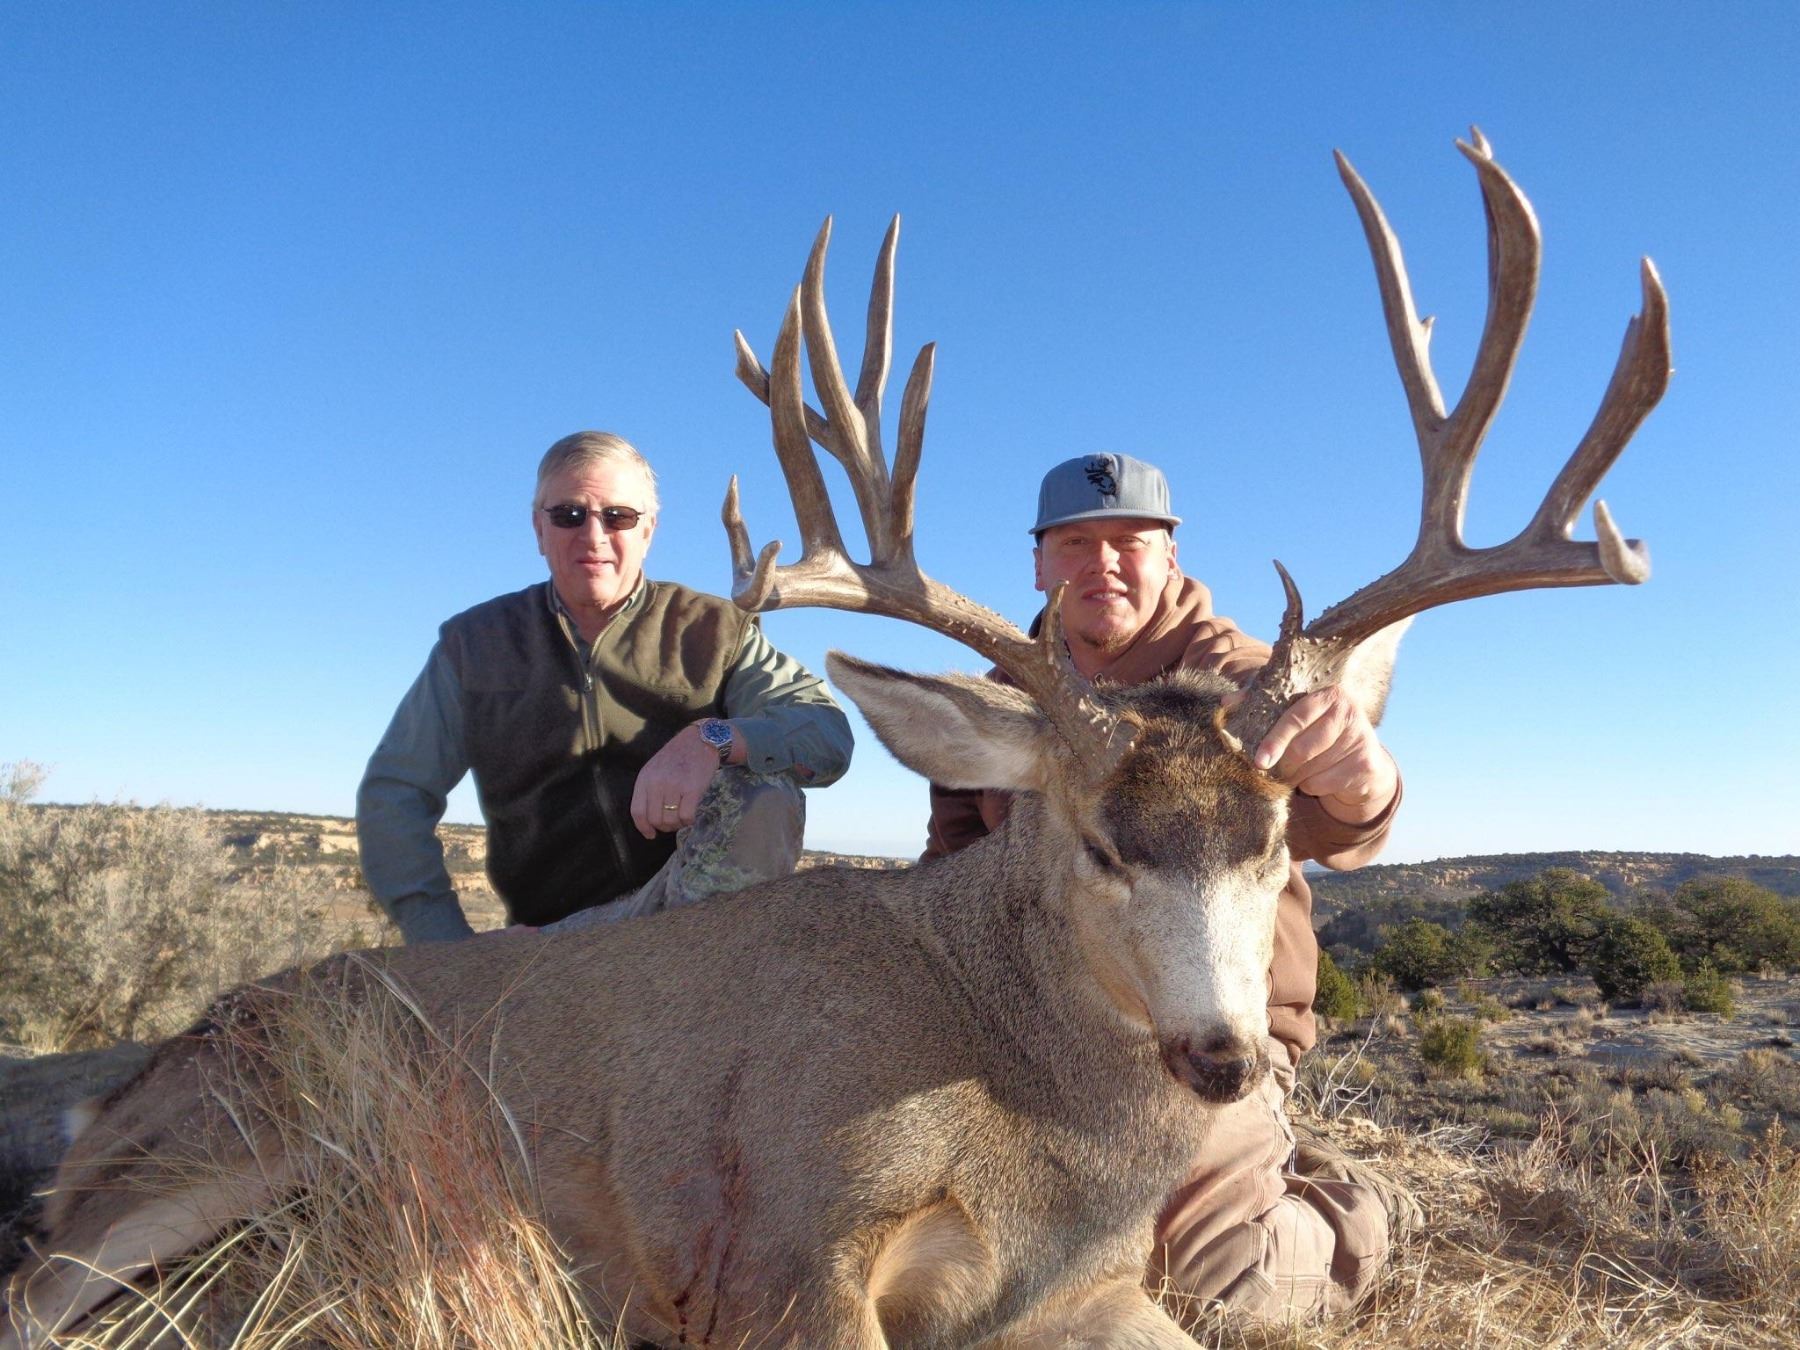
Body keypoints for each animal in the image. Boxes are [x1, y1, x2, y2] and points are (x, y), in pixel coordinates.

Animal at [3, 129, 1668, 1349]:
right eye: (1097, 843)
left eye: (1272, 846)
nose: (1222, 1052)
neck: (1031, 1121)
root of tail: (161, 1052)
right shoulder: (784, 1237)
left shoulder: (1090, 1284)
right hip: (202, 1143)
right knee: (35, 1286)